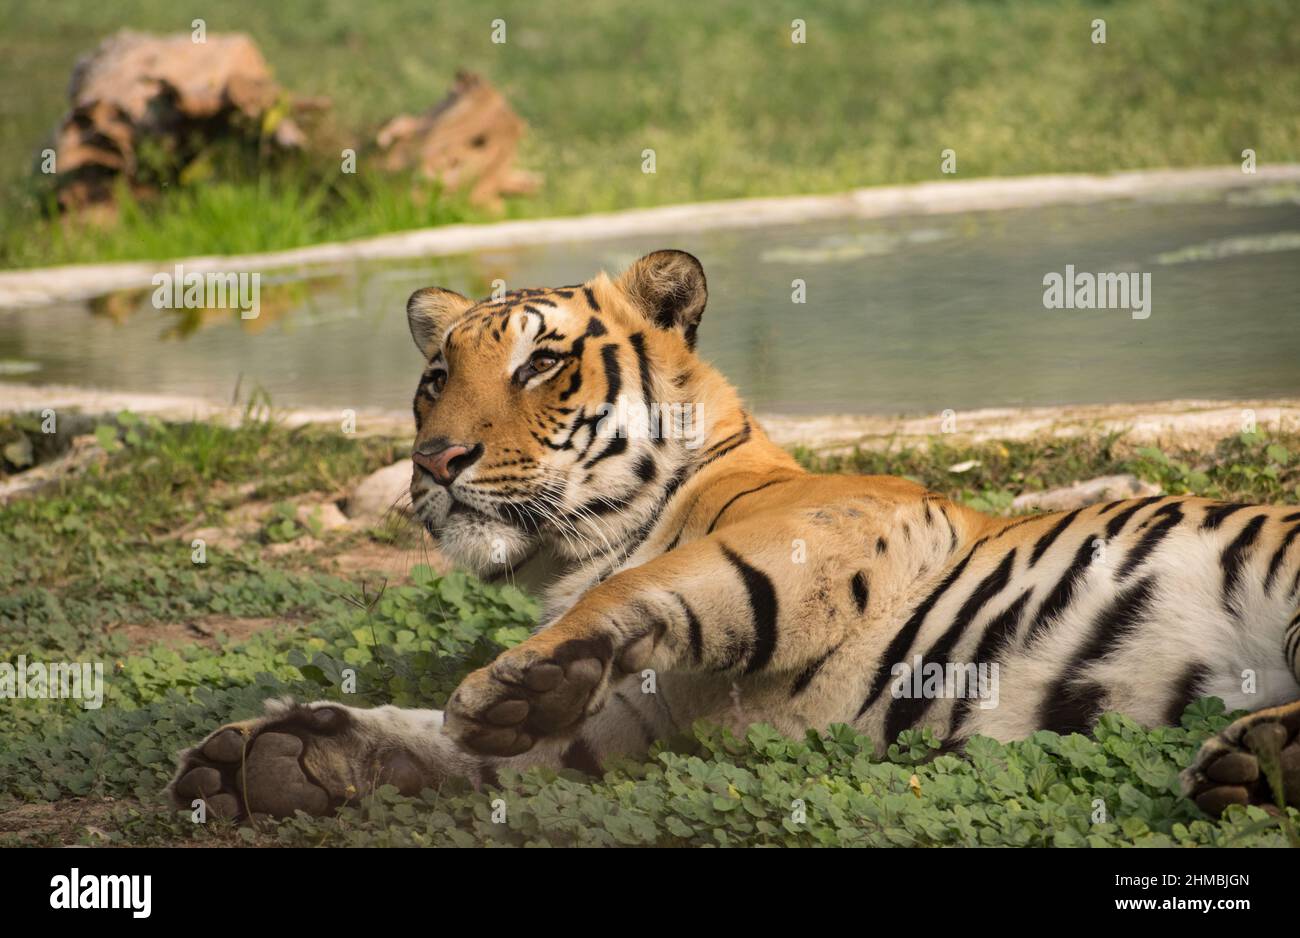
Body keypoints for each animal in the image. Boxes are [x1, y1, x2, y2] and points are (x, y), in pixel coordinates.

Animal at [169, 249, 1300, 823]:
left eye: (539, 365)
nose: (436, 461)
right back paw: (1256, 762)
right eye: (436, 375)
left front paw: (513, 682)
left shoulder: (838, 524)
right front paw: (272, 755)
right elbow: (443, 741)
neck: (571, 554)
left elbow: (653, 588)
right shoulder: (631, 724)